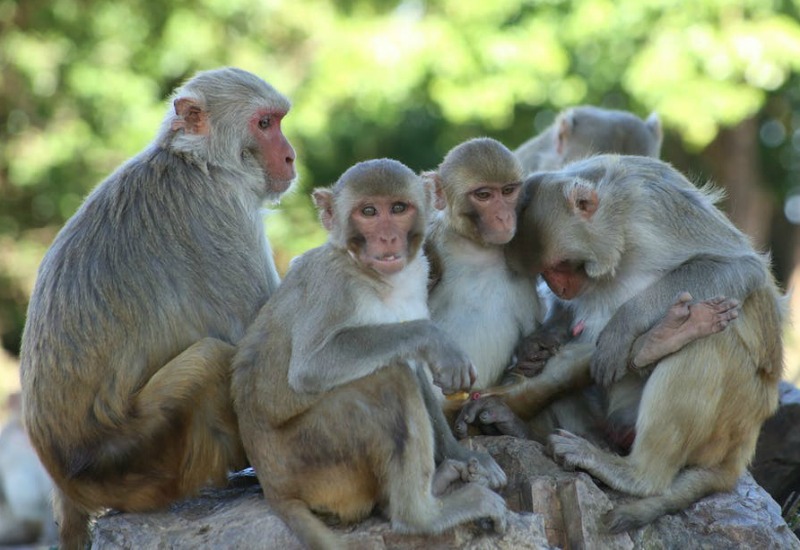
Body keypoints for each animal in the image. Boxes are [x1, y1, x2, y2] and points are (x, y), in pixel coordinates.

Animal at [19, 67, 297, 549]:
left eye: (278, 120)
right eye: (264, 124)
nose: (291, 156)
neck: (199, 163)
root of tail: (67, 481)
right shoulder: (223, 213)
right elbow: (256, 344)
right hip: (141, 456)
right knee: (211, 359)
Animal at [232, 159, 508, 550]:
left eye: (398, 208)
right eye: (368, 212)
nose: (388, 238)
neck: (377, 278)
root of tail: (274, 488)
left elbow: (415, 366)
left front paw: (464, 454)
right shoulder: (333, 285)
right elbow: (310, 366)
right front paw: (437, 342)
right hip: (316, 460)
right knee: (391, 381)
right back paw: (421, 516)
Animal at [475, 154, 783, 531]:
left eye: (562, 265)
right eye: (545, 272)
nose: (559, 288)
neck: (618, 229)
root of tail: (746, 440)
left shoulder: (651, 205)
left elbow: (741, 266)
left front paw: (623, 326)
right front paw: (536, 343)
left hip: (731, 418)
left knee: (710, 340)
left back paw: (635, 472)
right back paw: (519, 424)